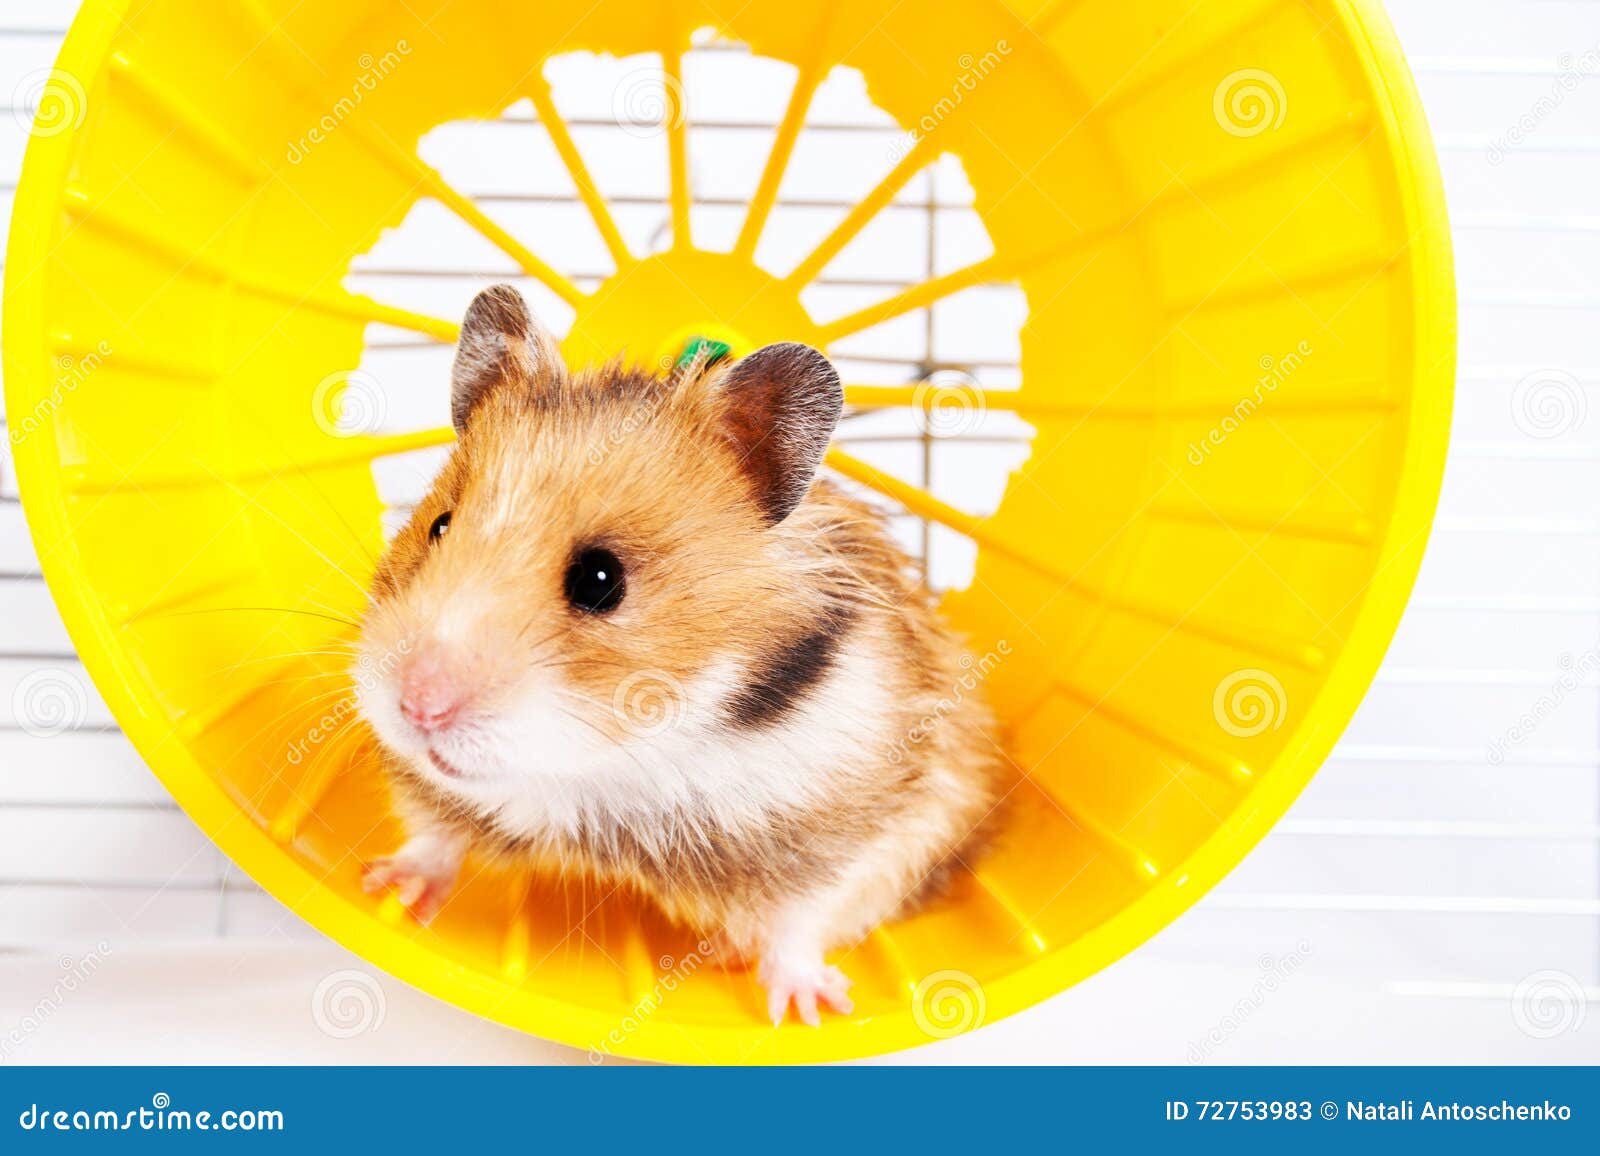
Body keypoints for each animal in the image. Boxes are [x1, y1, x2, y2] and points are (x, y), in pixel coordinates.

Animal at [356, 284, 1005, 1025]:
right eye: (438, 525)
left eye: (600, 580)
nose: (416, 708)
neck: (610, 766)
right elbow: (433, 838)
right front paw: (383, 888)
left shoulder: (857, 825)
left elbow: (803, 919)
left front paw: (805, 1010)